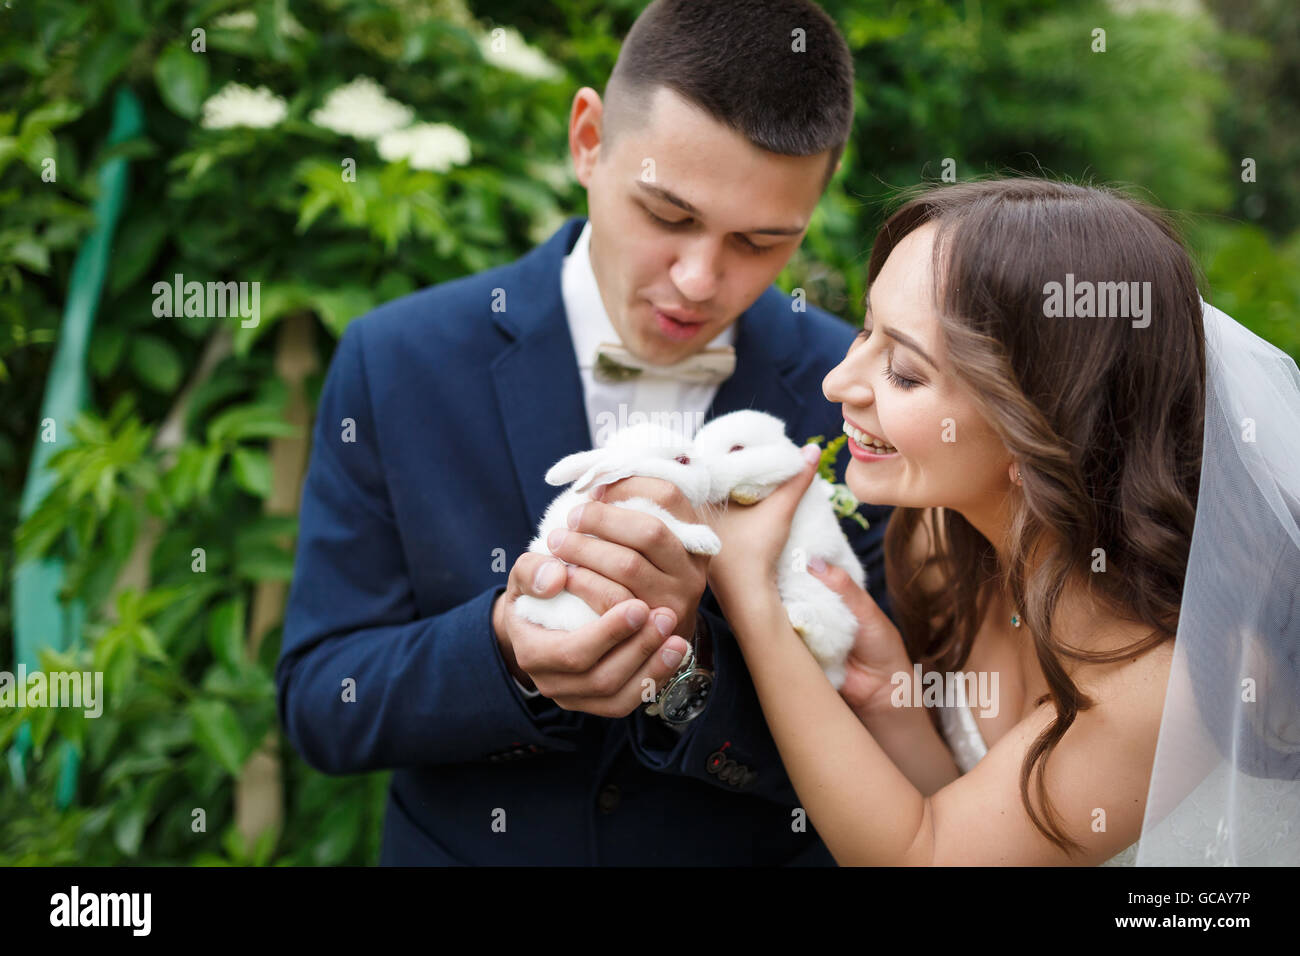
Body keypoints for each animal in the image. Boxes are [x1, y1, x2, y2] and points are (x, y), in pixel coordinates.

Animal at [693, 409, 867, 689]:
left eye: (737, 448)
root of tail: (836, 674)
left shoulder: (781, 476)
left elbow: (764, 487)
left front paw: (744, 494)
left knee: (827, 642)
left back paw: (799, 618)